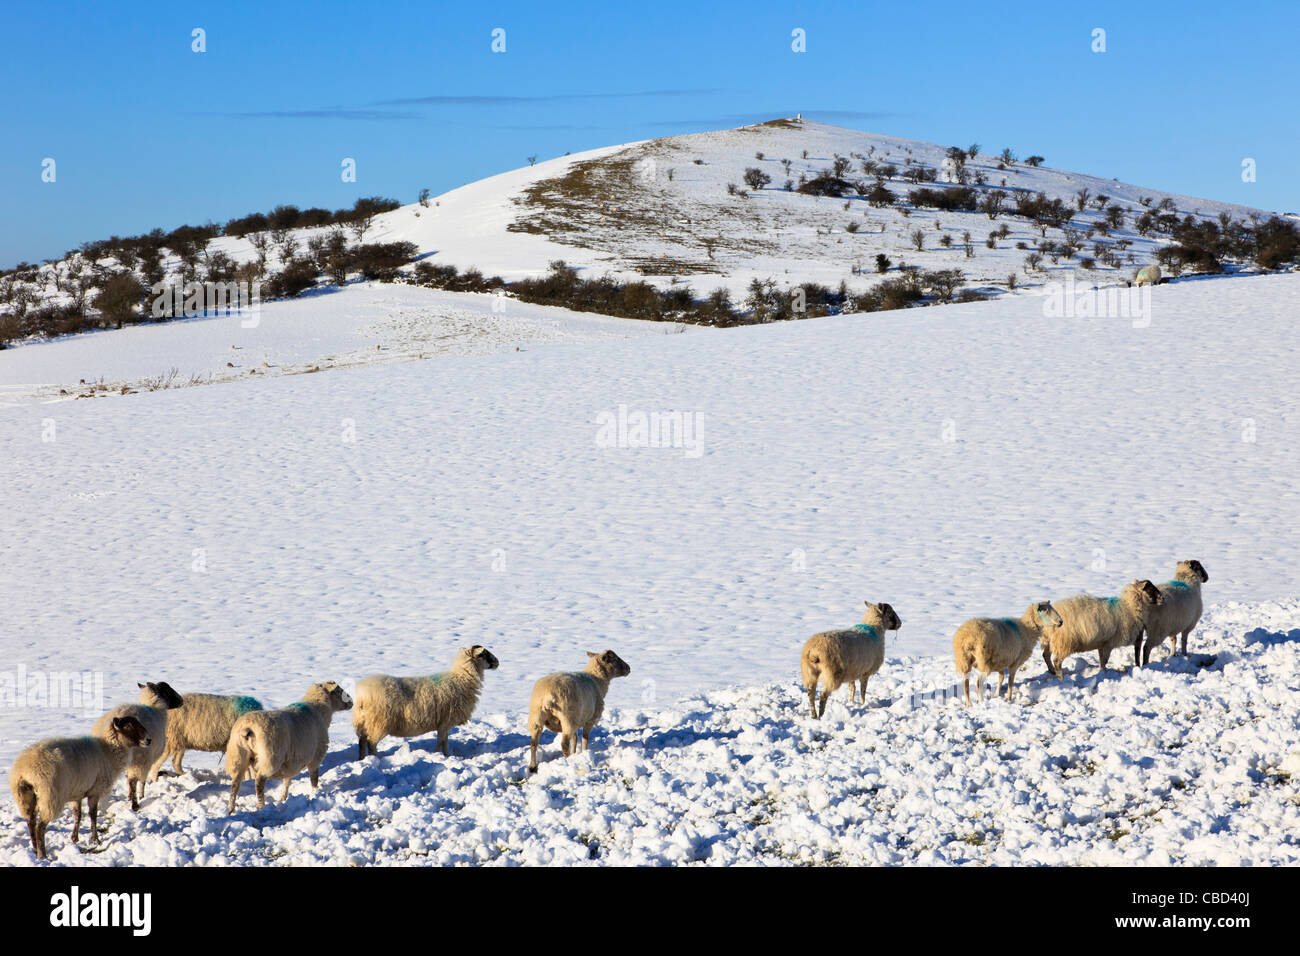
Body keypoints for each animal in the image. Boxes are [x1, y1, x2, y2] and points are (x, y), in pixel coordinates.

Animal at [9, 715, 151, 860]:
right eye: (128, 726)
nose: (148, 740)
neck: (108, 751)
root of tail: (24, 770)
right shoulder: (95, 791)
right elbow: (92, 815)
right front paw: (95, 840)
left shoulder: (77, 794)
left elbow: (77, 815)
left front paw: (74, 838)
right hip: (50, 797)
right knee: (40, 826)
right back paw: (42, 855)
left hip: (26, 797)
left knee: (30, 822)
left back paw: (34, 849)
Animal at [90, 681, 184, 811]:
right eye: (167, 690)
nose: (182, 700)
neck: (155, 709)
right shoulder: (145, 761)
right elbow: (141, 781)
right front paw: (141, 797)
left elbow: (128, 778)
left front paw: (129, 797)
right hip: (139, 757)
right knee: (134, 780)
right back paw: (135, 805)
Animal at [225, 681, 352, 813]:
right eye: (339, 691)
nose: (352, 702)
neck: (319, 710)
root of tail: (247, 727)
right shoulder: (315, 757)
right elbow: (314, 779)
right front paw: (314, 794)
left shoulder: (291, 762)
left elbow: (287, 781)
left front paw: (283, 798)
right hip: (270, 758)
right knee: (259, 782)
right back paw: (261, 806)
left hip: (238, 756)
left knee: (235, 784)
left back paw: (231, 809)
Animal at [353, 645, 499, 759]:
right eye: (483, 654)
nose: (498, 662)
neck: (461, 679)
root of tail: (362, 695)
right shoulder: (445, 721)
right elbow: (440, 741)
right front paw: (438, 755)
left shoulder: (444, 723)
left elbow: (445, 741)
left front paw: (446, 755)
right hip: (379, 722)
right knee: (371, 743)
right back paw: (376, 760)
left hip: (363, 722)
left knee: (362, 742)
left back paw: (362, 759)